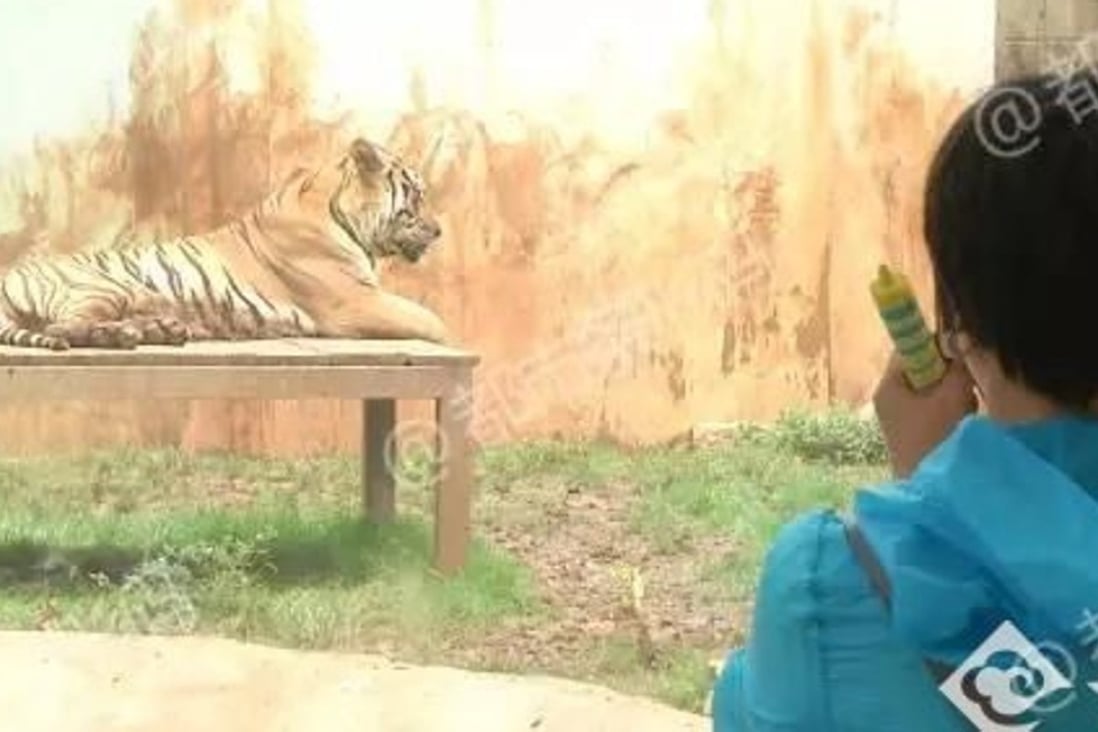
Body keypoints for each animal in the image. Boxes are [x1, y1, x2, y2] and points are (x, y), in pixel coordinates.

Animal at [0, 137, 451, 350]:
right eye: (418, 196)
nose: (439, 231)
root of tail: (11, 274)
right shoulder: (354, 302)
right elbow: (435, 323)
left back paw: (159, 330)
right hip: (100, 287)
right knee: (64, 326)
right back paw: (127, 336)